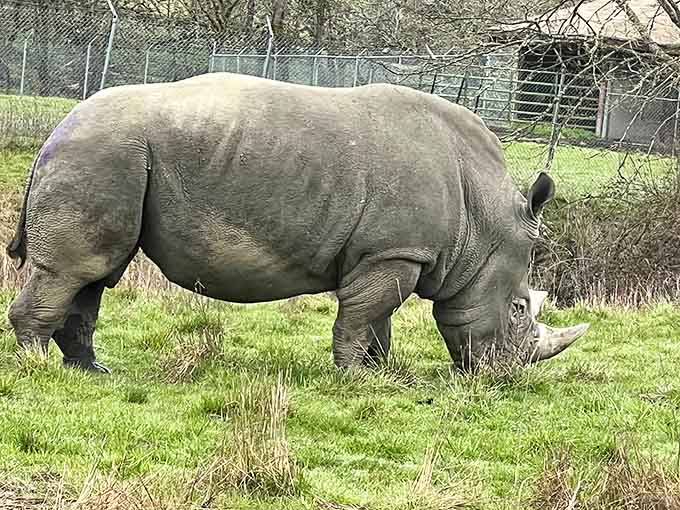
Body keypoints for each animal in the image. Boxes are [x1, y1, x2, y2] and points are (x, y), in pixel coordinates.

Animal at [5, 72, 588, 374]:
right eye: (519, 308)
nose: (506, 377)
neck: (482, 219)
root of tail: (54, 132)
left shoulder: (388, 253)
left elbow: (380, 318)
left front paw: (378, 372)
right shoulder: (396, 251)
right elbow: (365, 312)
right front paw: (352, 377)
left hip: (112, 155)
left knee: (96, 274)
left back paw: (90, 370)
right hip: (104, 152)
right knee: (77, 270)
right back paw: (36, 367)